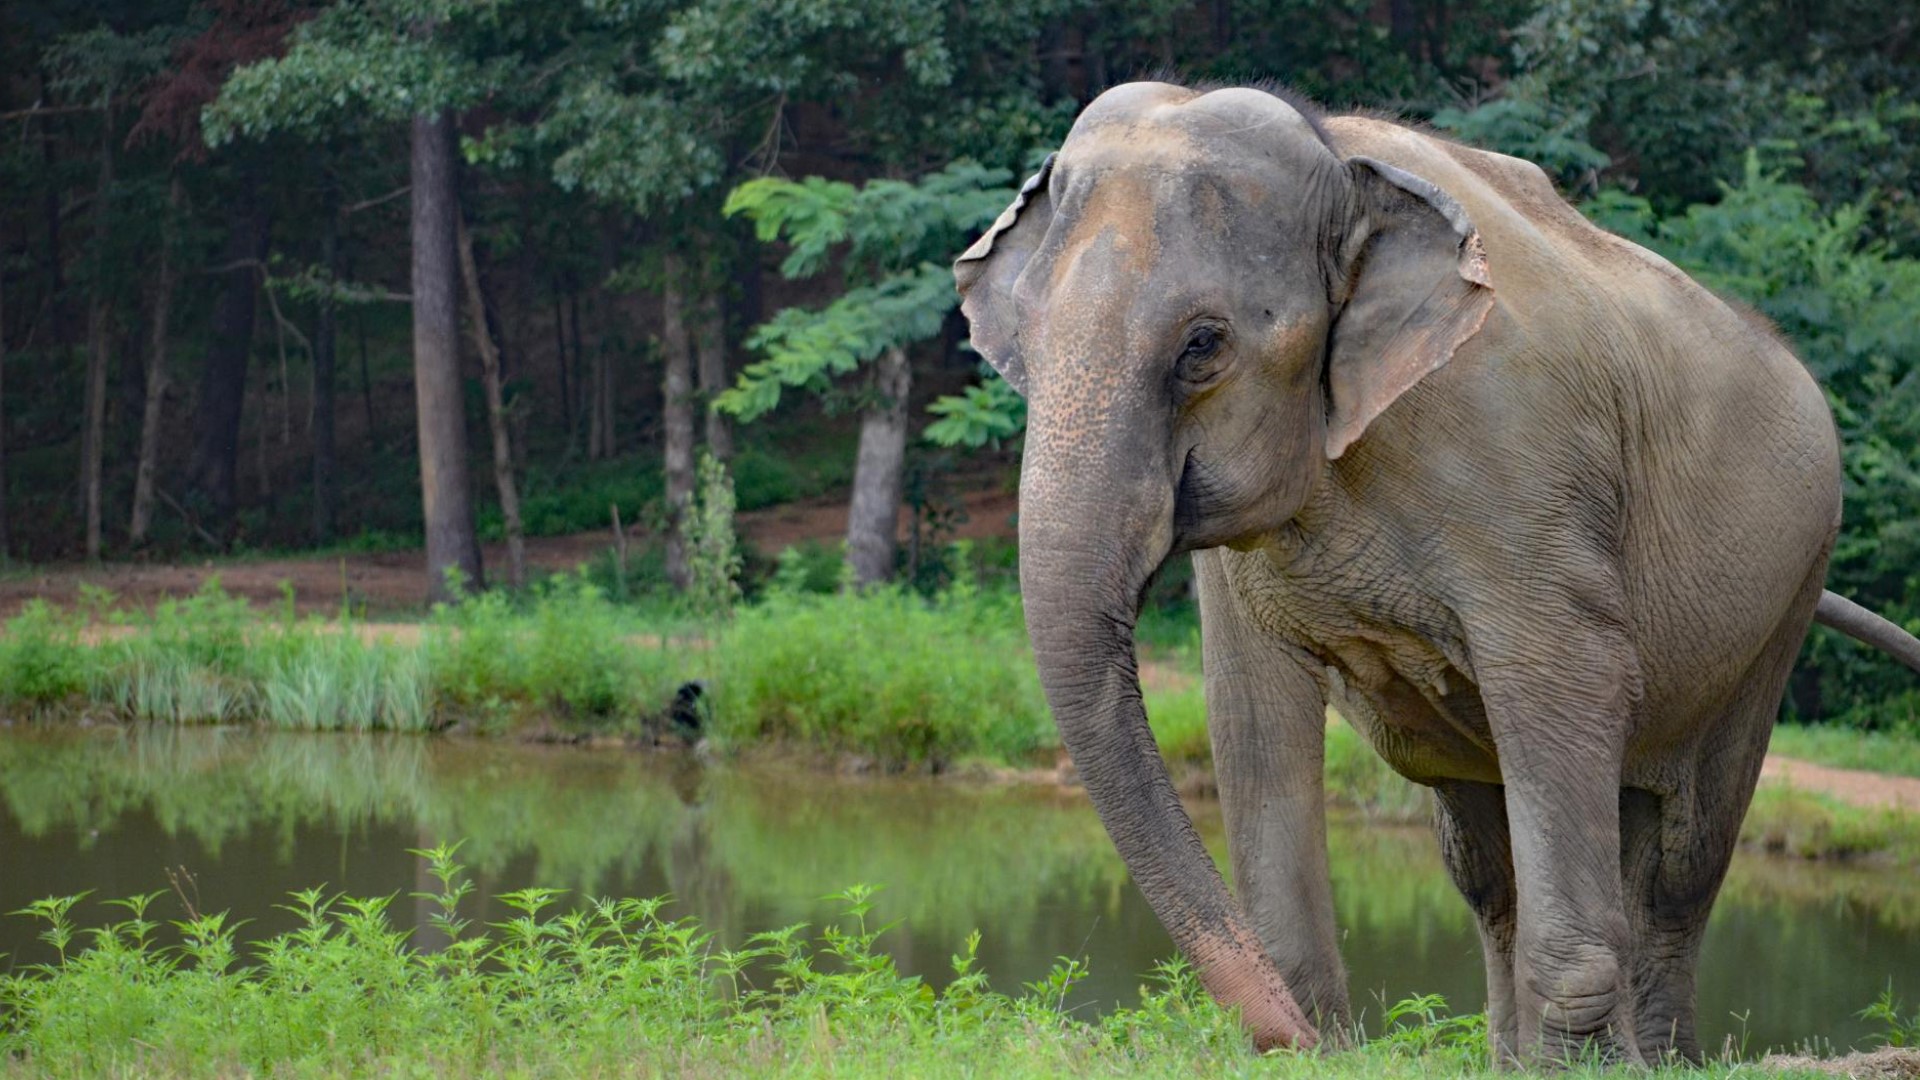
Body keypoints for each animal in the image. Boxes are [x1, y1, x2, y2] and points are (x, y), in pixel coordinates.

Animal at [953, 81, 1920, 1065]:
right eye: (1023, 339)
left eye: (1203, 346)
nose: (1305, 1039)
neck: (1343, 164)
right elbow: (1254, 706)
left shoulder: (1521, 451)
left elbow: (1567, 680)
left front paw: (1575, 1070)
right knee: (1491, 866)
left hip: (1788, 588)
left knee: (1683, 858)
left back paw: (1654, 1061)